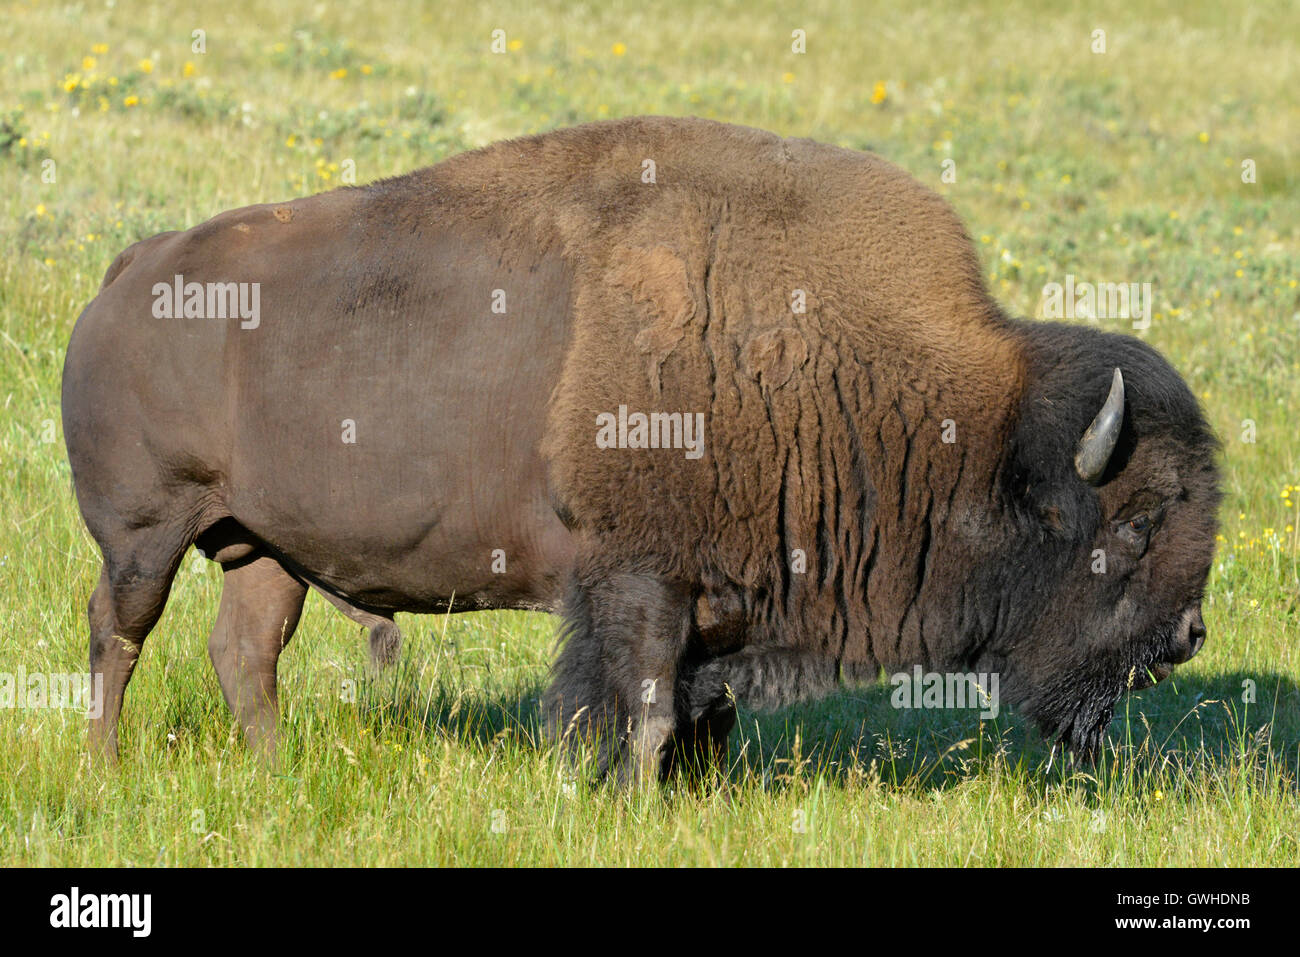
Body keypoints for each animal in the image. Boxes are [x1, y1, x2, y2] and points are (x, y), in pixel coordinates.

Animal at [62, 116, 1221, 781]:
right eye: (1136, 522)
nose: (1187, 637)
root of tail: (129, 268)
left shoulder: (715, 598)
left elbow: (699, 717)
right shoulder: (639, 585)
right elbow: (644, 711)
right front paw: (621, 795)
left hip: (264, 548)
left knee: (244, 654)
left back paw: (272, 772)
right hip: (148, 534)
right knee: (118, 634)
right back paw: (106, 768)